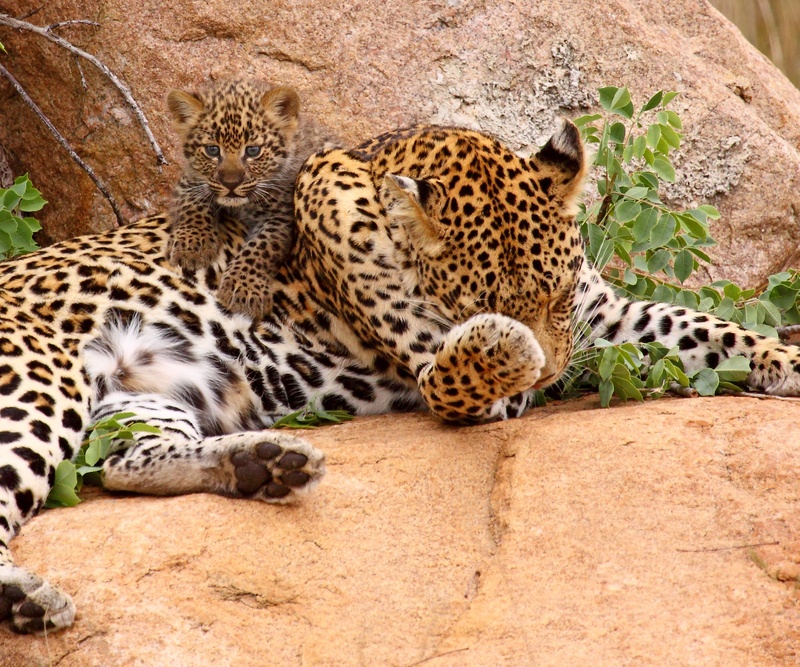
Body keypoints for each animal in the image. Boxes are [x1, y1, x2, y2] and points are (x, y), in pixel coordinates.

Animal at [2, 120, 800, 634]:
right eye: (488, 298)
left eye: (557, 295)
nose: (551, 373)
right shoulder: (442, 374)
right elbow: (459, 365)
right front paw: (497, 348)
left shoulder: (606, 316)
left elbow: (701, 329)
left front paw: (783, 360)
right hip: (37, 377)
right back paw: (28, 602)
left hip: (144, 391)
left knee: (125, 463)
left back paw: (264, 463)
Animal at [166, 78, 336, 319]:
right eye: (212, 150)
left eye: (253, 151)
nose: (231, 183)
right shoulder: (189, 181)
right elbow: (193, 206)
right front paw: (192, 246)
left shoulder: (282, 215)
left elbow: (263, 246)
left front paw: (244, 289)